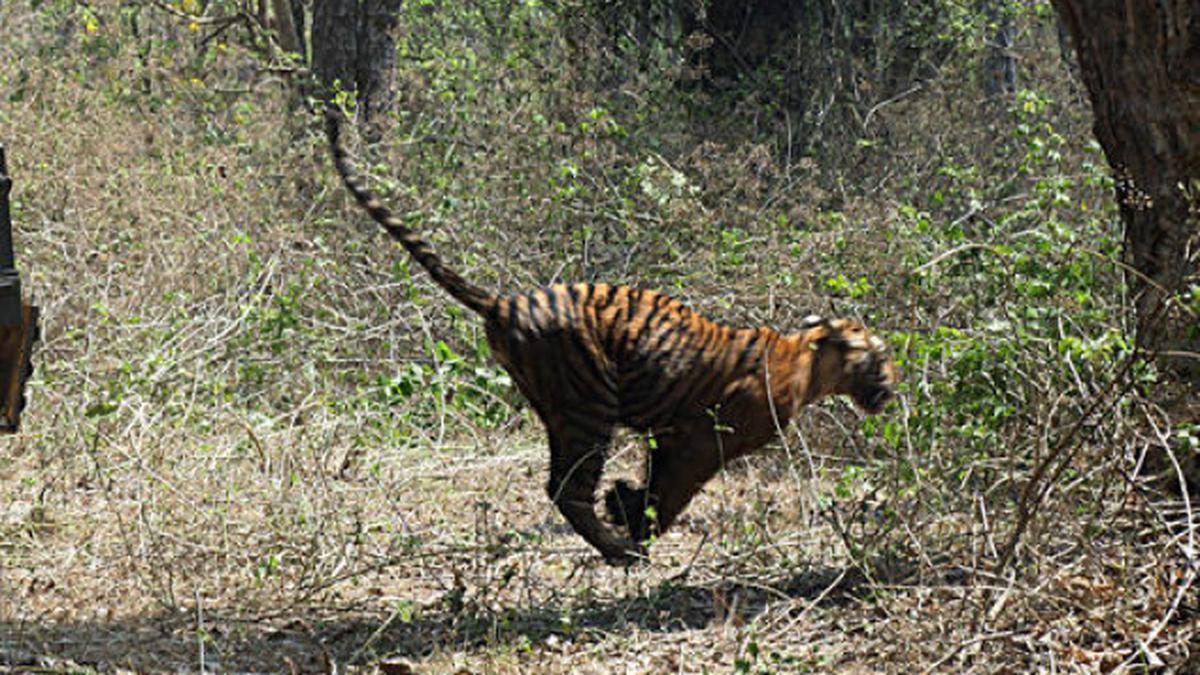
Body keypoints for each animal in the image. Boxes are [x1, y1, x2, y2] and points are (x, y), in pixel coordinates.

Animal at [324, 107, 898, 564]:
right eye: (882, 356)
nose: (894, 386)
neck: (811, 363)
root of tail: (504, 302)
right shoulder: (701, 439)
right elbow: (672, 493)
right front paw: (635, 522)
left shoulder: (668, 434)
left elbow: (658, 483)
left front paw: (624, 501)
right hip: (589, 404)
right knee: (565, 488)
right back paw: (620, 551)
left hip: (563, 409)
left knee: (560, 483)